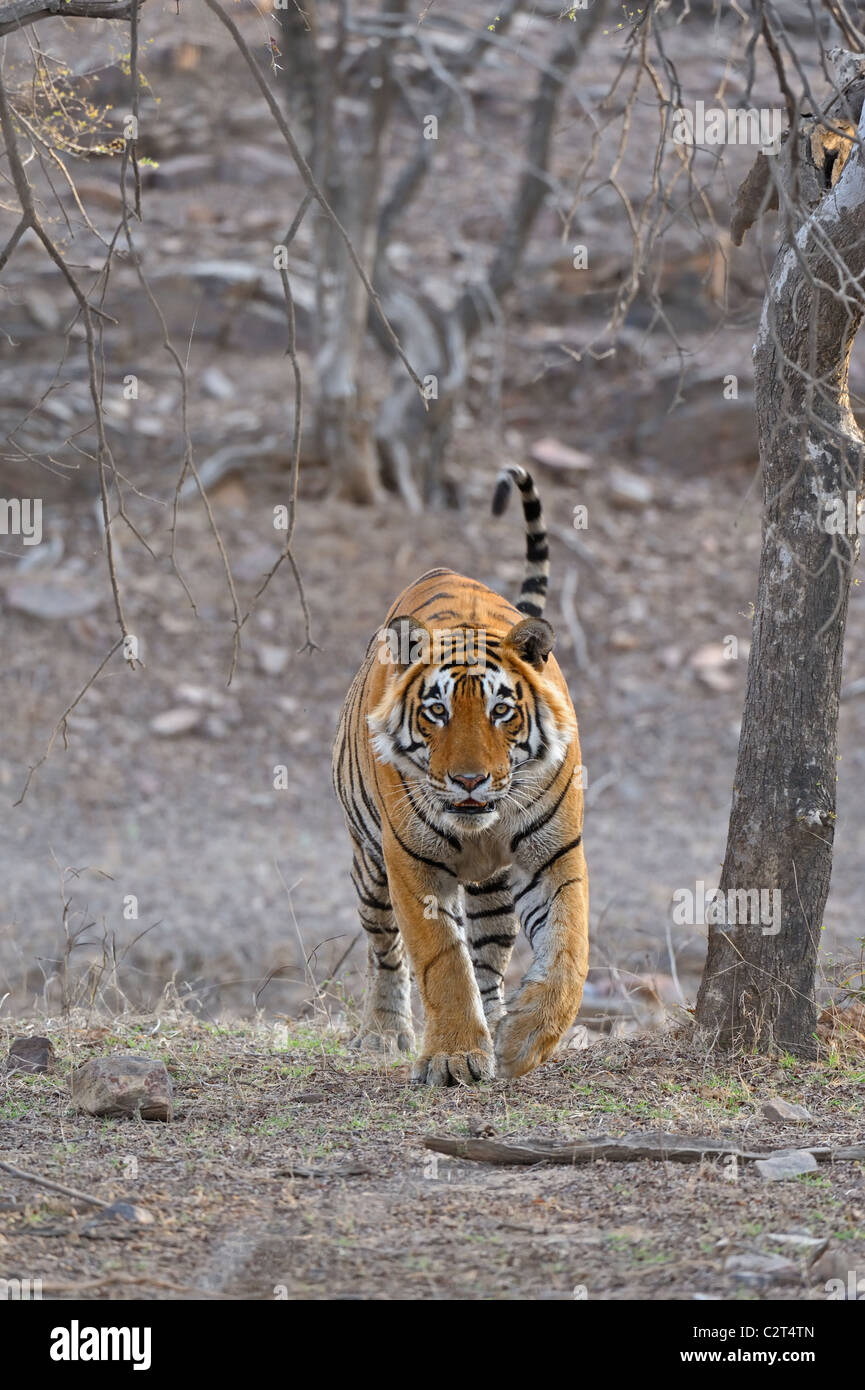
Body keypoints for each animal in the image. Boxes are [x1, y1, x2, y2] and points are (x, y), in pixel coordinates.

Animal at [333, 465, 588, 1085]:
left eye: (501, 710)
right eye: (436, 711)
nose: (470, 781)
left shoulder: (557, 853)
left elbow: (568, 950)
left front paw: (523, 1041)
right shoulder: (410, 864)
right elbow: (439, 959)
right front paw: (452, 1058)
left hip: (492, 888)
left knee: (490, 955)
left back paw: (496, 1024)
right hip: (369, 866)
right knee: (384, 949)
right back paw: (385, 1032)